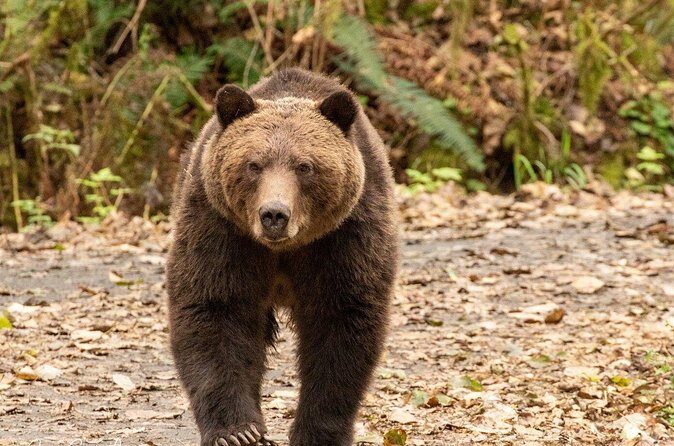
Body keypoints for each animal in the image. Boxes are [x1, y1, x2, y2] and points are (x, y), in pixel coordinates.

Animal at [166, 68, 399, 446]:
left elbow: (342, 322)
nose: (274, 214)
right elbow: (215, 309)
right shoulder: (221, 230)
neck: (284, 250)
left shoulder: (346, 237)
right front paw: (238, 432)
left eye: (305, 166)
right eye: (253, 164)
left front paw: (318, 433)